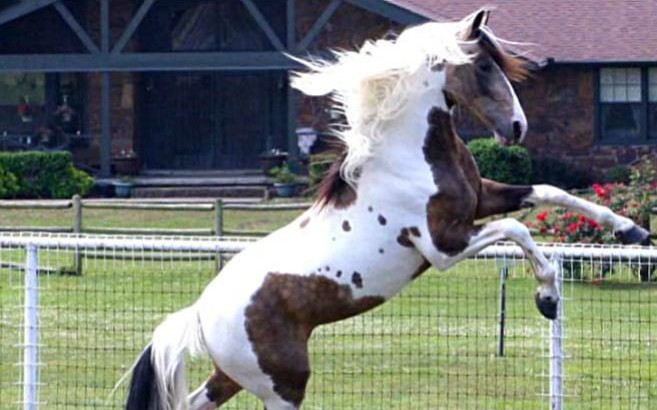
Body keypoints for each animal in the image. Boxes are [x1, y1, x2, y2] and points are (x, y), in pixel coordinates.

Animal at [124, 9, 649, 410]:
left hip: (232, 378)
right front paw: (547, 298)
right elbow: (515, 229)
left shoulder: (481, 197)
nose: (516, 128)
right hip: (282, 385)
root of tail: (198, 313)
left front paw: (630, 231)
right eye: (482, 66)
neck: (409, 154)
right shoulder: (444, 246)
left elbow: (549, 192)